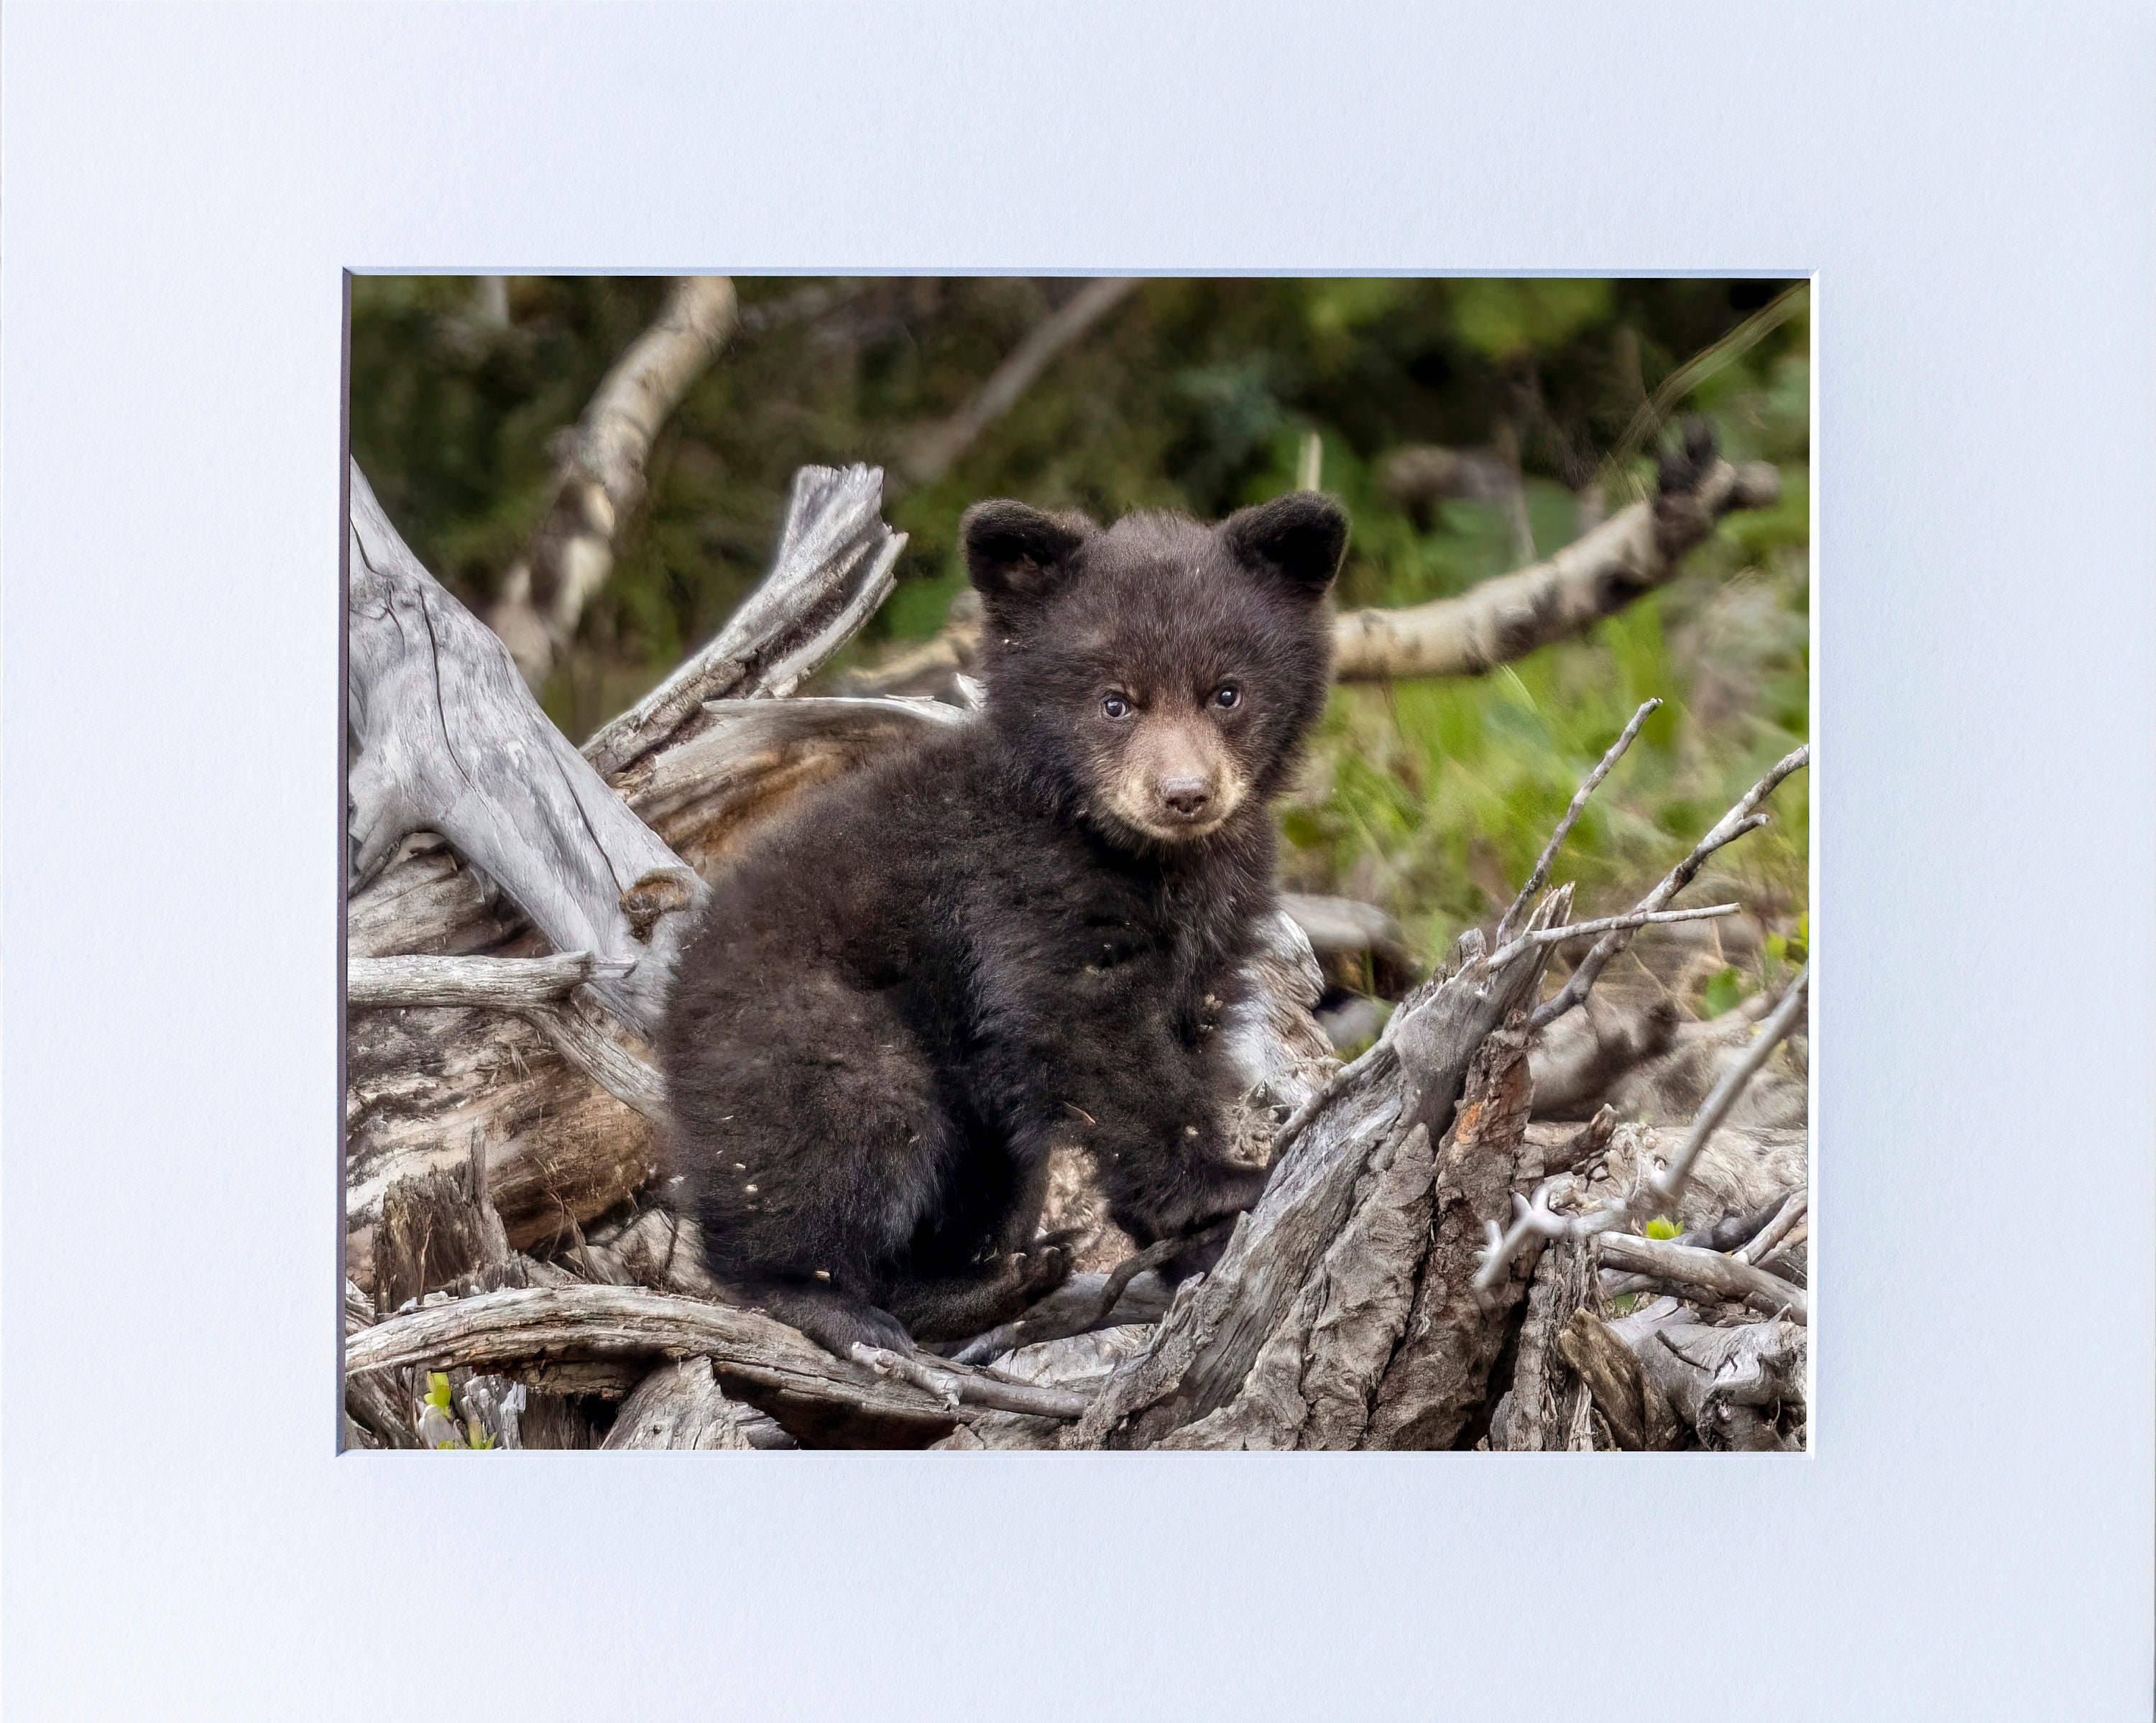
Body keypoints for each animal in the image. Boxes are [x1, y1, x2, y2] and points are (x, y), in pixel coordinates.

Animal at [655, 488, 1349, 1361]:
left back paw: (985, 1283)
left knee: (981, 1173)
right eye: (1114, 701)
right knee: (847, 1131)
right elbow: (1093, 1037)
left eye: (1227, 692)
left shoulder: (1213, 938)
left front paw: (1189, 1239)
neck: (1141, 855)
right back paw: (826, 1298)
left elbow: (1187, 1037)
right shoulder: (1020, 893)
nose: (1185, 795)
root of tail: (673, 1017)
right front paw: (1215, 1189)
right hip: (804, 1033)